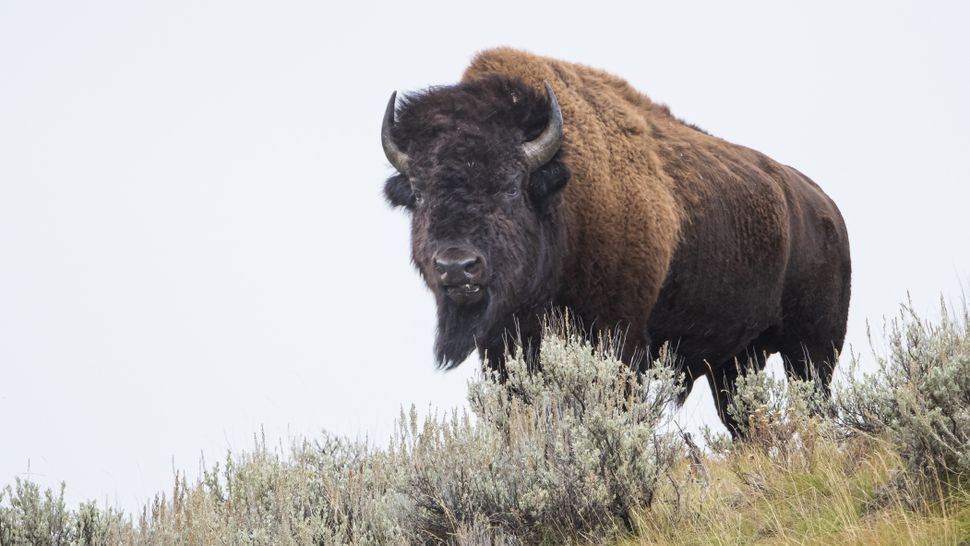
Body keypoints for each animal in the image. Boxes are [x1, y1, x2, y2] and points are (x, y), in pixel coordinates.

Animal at [380, 48, 851, 434]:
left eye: (511, 186)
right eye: (418, 194)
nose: (456, 266)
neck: (565, 200)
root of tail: (824, 205)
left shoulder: (618, 340)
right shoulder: (502, 350)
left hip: (813, 348)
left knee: (813, 406)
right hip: (736, 361)